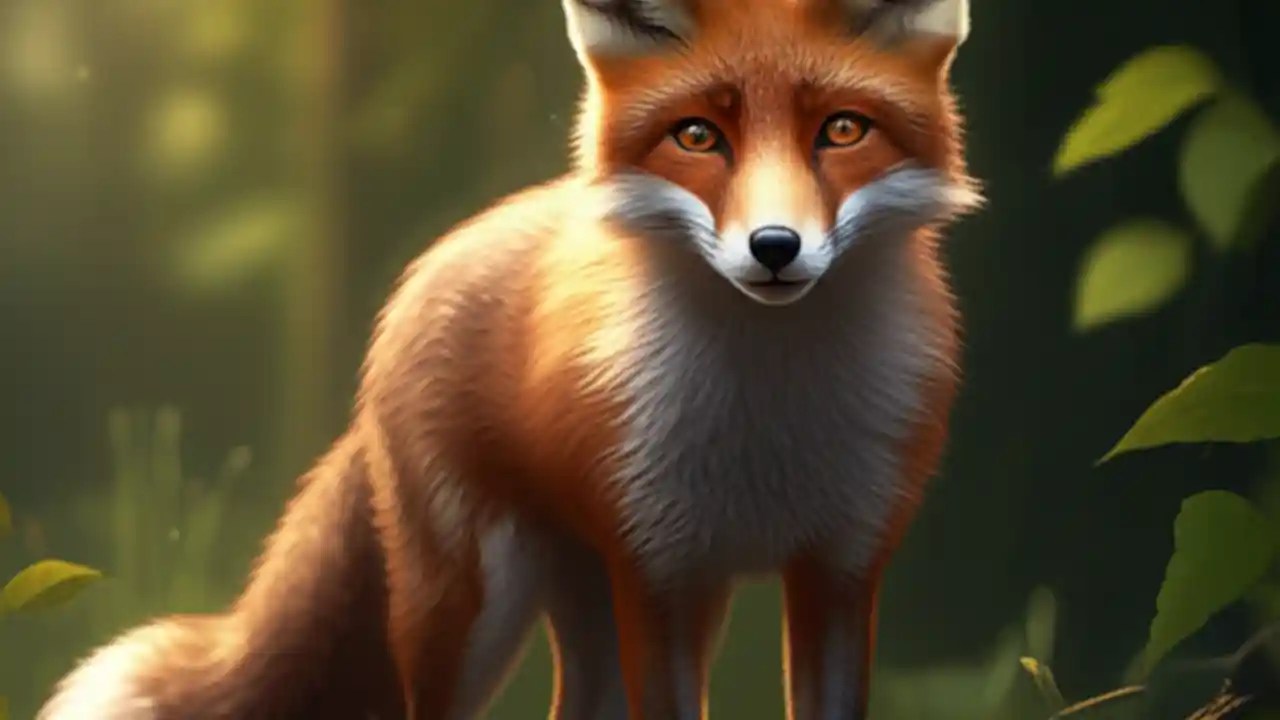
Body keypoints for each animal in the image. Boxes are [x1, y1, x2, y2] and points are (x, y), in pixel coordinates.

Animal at [38, 0, 981, 718]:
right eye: (698, 137)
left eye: (843, 130)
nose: (776, 248)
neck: (772, 416)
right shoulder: (662, 576)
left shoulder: (841, 569)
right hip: (473, 609)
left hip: (602, 598)